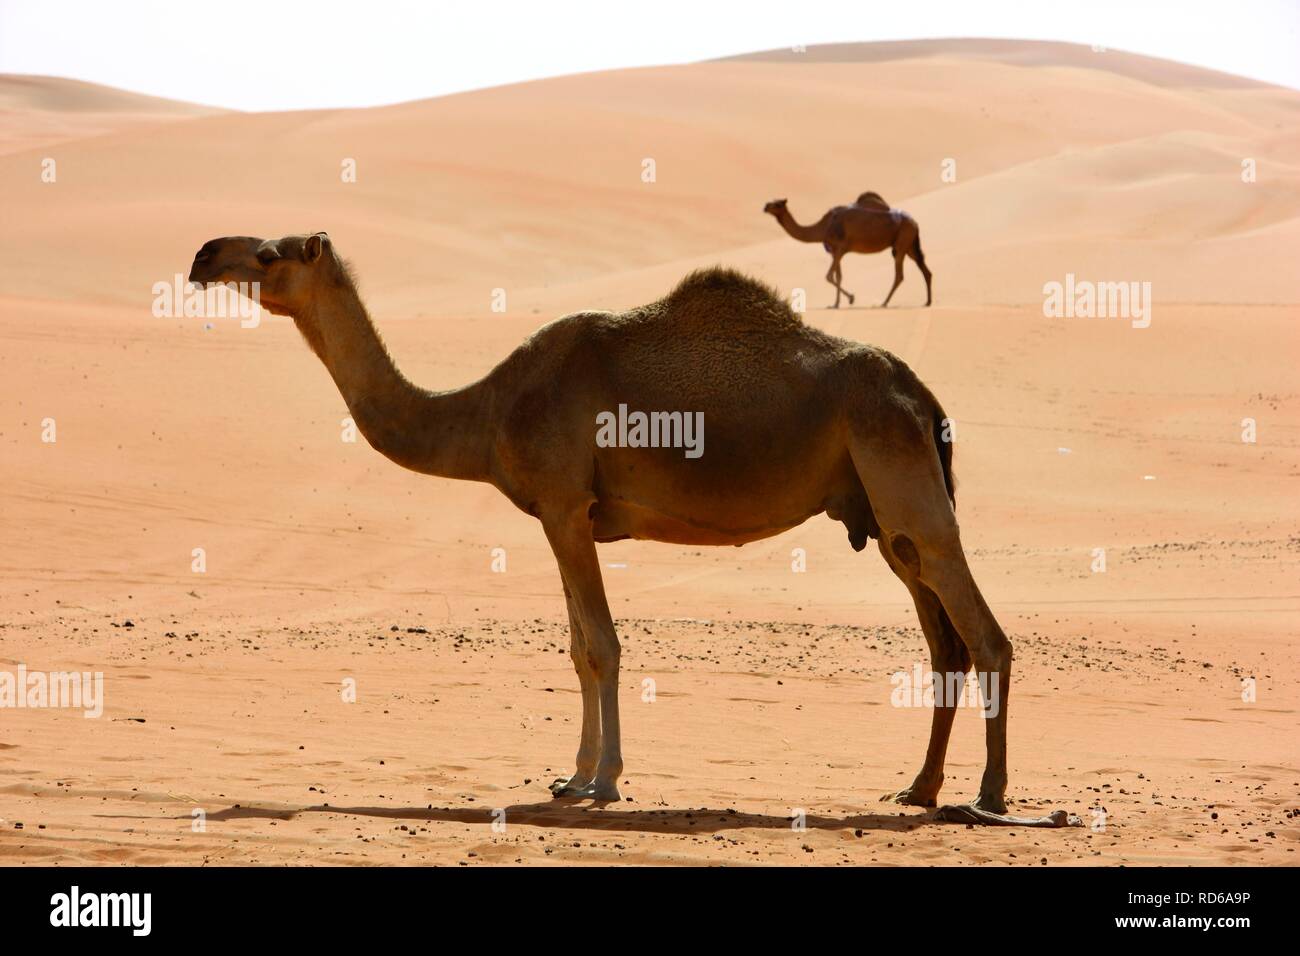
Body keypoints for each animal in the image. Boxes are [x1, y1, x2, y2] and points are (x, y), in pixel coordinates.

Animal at [187, 232, 1074, 827]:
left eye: (267, 254)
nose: (202, 257)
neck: (487, 411)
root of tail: (921, 393)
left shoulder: (563, 506)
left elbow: (602, 646)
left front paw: (603, 781)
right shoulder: (563, 514)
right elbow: (578, 647)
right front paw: (570, 775)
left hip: (900, 470)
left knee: (984, 633)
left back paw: (989, 796)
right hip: (882, 505)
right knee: (942, 636)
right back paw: (918, 789)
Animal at [763, 193, 933, 309]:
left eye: (777, 204)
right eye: (772, 201)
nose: (765, 206)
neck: (822, 228)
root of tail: (915, 223)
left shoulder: (840, 248)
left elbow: (829, 276)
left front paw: (850, 298)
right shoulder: (835, 251)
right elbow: (838, 277)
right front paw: (835, 304)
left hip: (902, 242)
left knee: (899, 275)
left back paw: (884, 303)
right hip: (910, 245)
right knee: (925, 269)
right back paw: (927, 301)